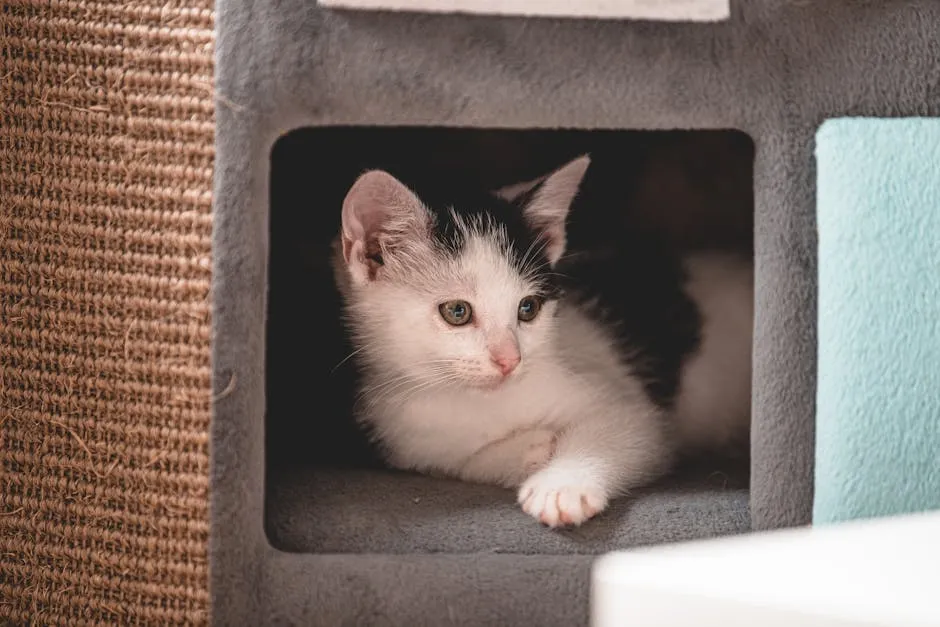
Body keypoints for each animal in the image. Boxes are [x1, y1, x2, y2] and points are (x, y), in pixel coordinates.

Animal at [334, 155, 752, 528]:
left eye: (528, 308)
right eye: (456, 311)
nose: (509, 360)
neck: (473, 402)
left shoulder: (630, 407)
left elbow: (622, 428)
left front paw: (562, 485)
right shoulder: (402, 438)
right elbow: (456, 461)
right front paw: (529, 450)